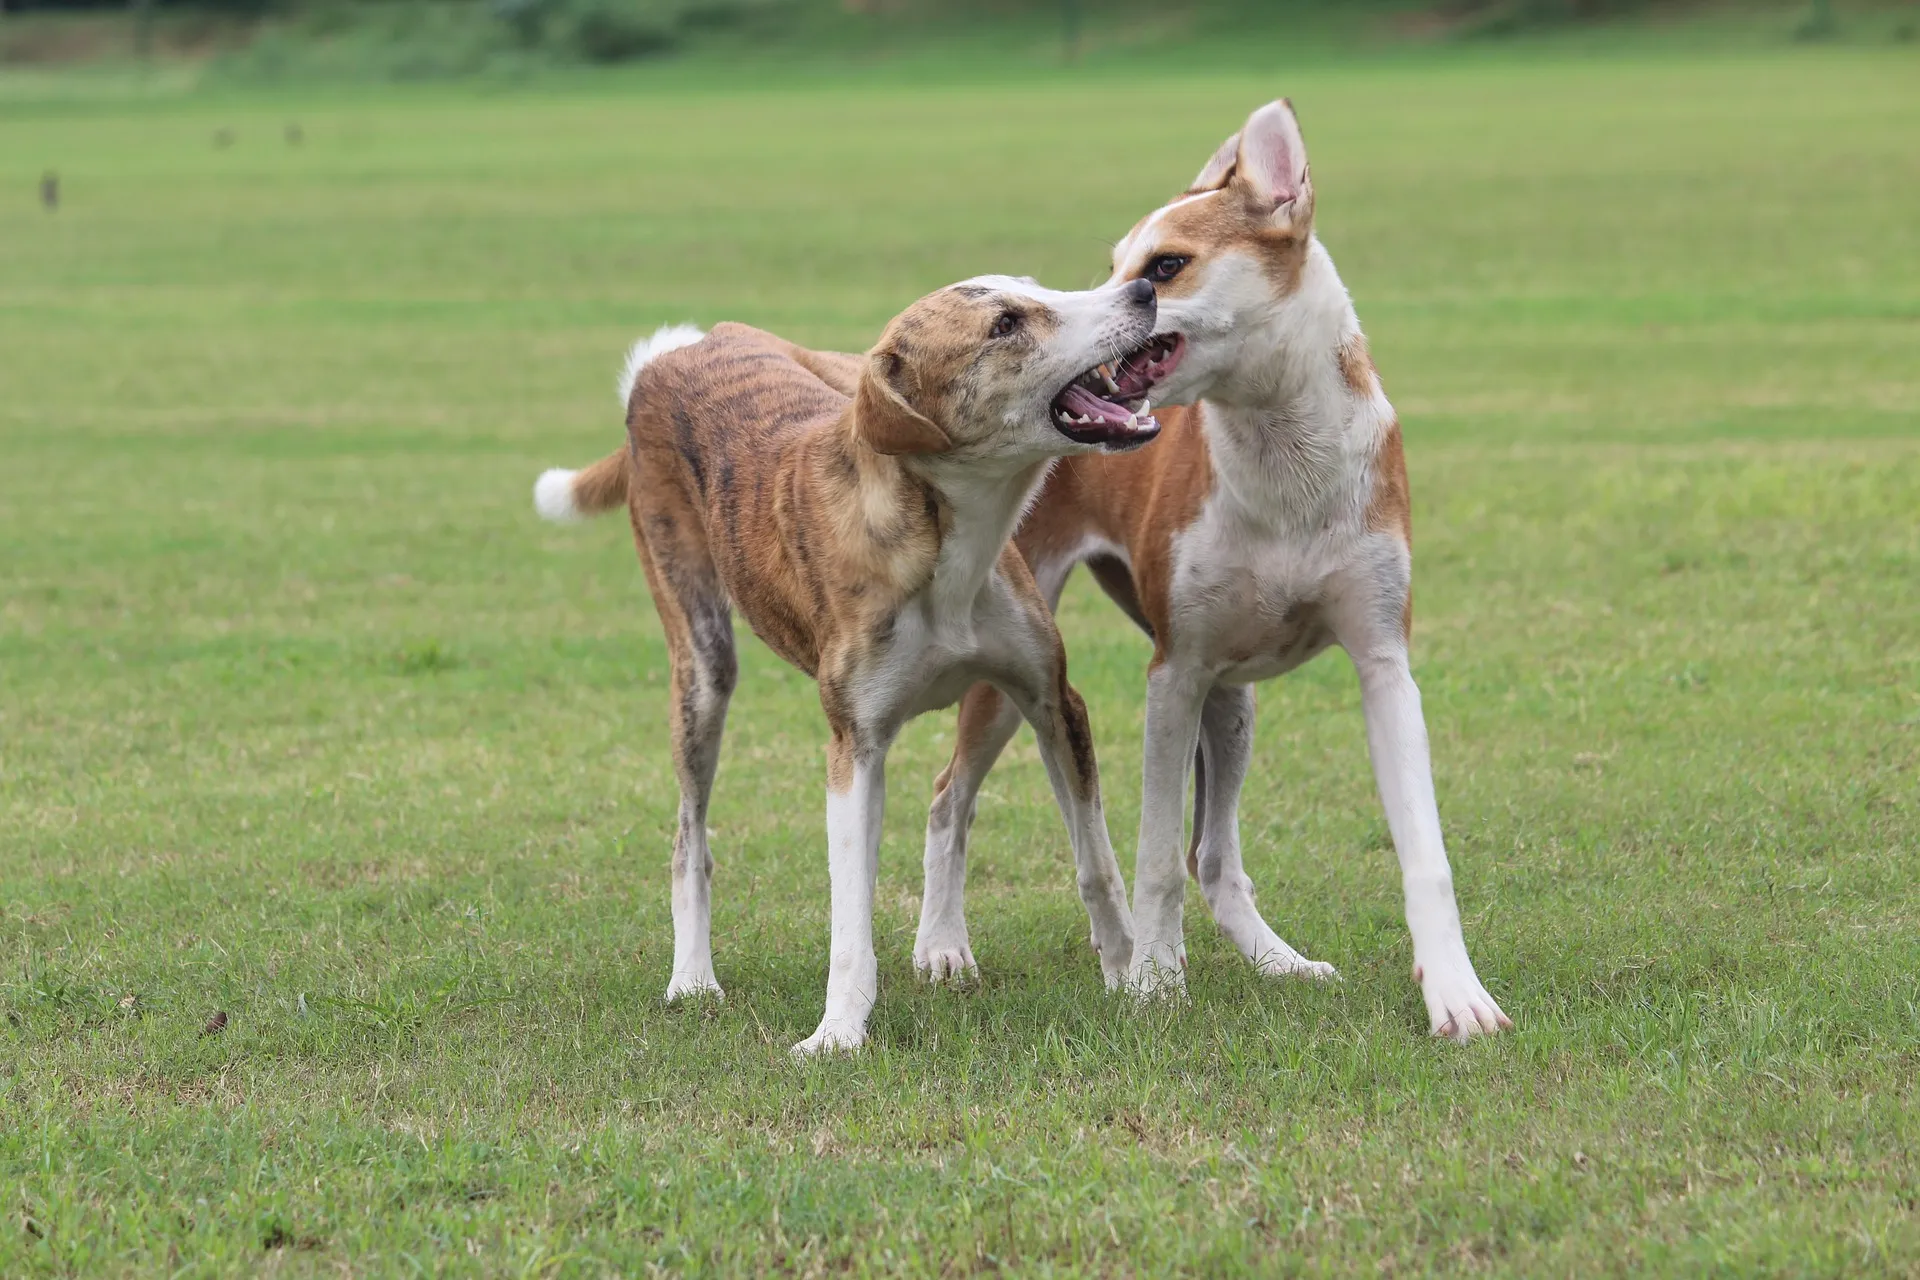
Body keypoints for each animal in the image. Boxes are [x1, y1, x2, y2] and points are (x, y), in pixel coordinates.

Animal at [529, 276, 1182, 1059]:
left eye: (1036, 287)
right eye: (1003, 325)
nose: (1143, 288)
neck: (941, 539)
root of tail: (672, 356)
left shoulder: (1053, 699)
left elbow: (1096, 861)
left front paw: (1133, 979)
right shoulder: (854, 747)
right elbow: (850, 914)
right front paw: (838, 1031)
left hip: (994, 695)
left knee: (950, 801)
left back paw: (943, 943)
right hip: (701, 664)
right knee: (691, 836)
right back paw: (692, 978)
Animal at [917, 100, 1512, 1043]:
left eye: (1167, 266)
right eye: (1117, 266)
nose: (1109, 306)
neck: (1281, 453)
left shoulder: (1383, 665)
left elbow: (1425, 854)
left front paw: (1457, 995)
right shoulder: (1176, 673)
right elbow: (1155, 854)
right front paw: (1155, 984)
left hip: (1235, 704)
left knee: (1215, 855)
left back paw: (1281, 961)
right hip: (1020, 668)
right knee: (950, 797)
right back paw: (942, 947)